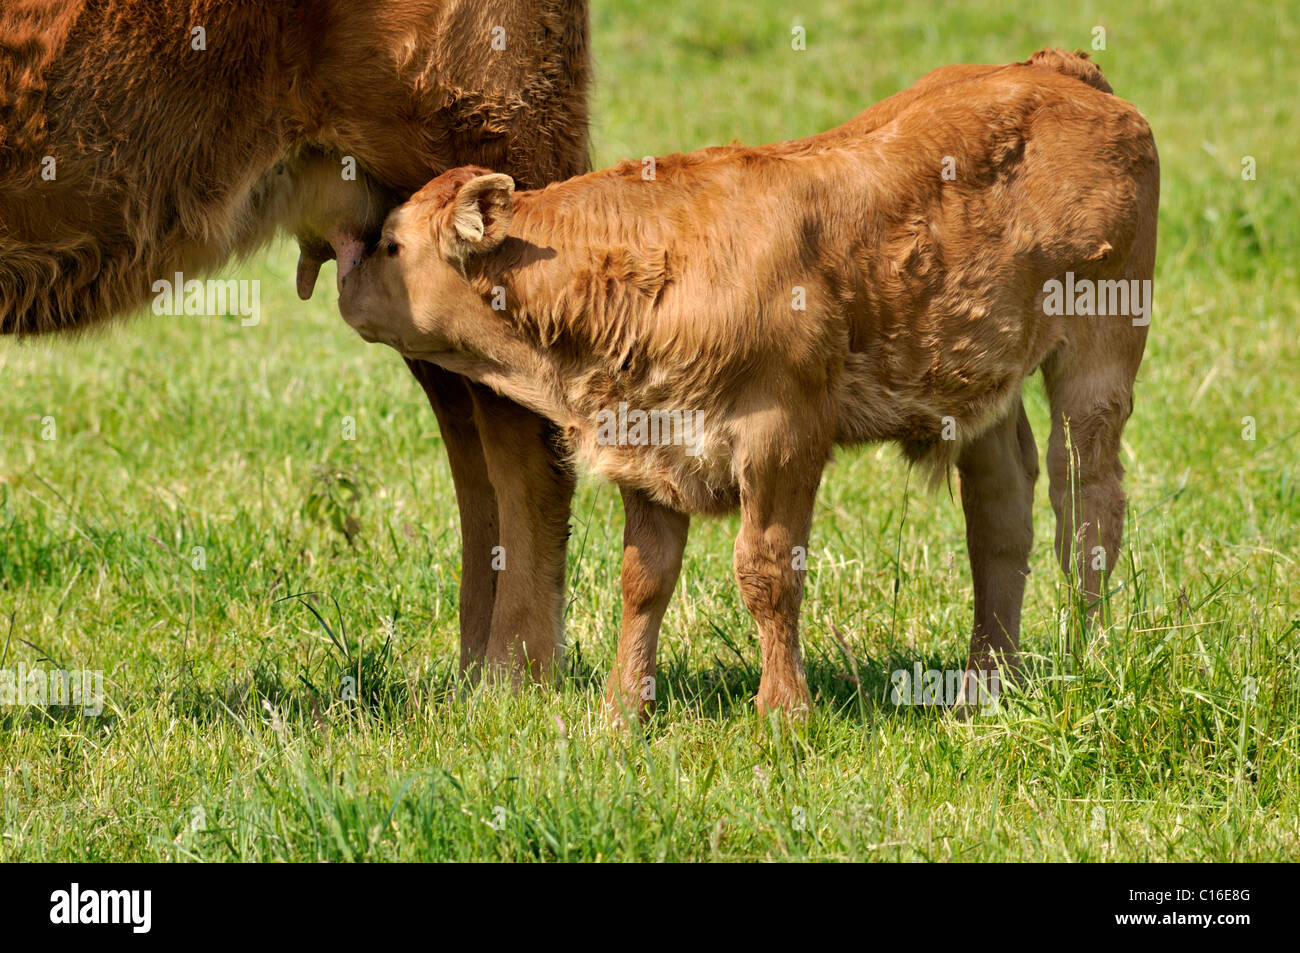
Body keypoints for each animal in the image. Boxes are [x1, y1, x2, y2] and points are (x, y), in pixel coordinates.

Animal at [336, 51, 1159, 718]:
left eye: (393, 244)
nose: (343, 280)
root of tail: (1060, 71)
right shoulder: (651, 447)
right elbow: (644, 581)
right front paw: (622, 713)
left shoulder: (782, 438)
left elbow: (766, 573)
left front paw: (783, 711)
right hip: (980, 385)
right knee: (1001, 512)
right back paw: (983, 684)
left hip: (1101, 352)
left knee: (1088, 507)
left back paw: (1086, 654)